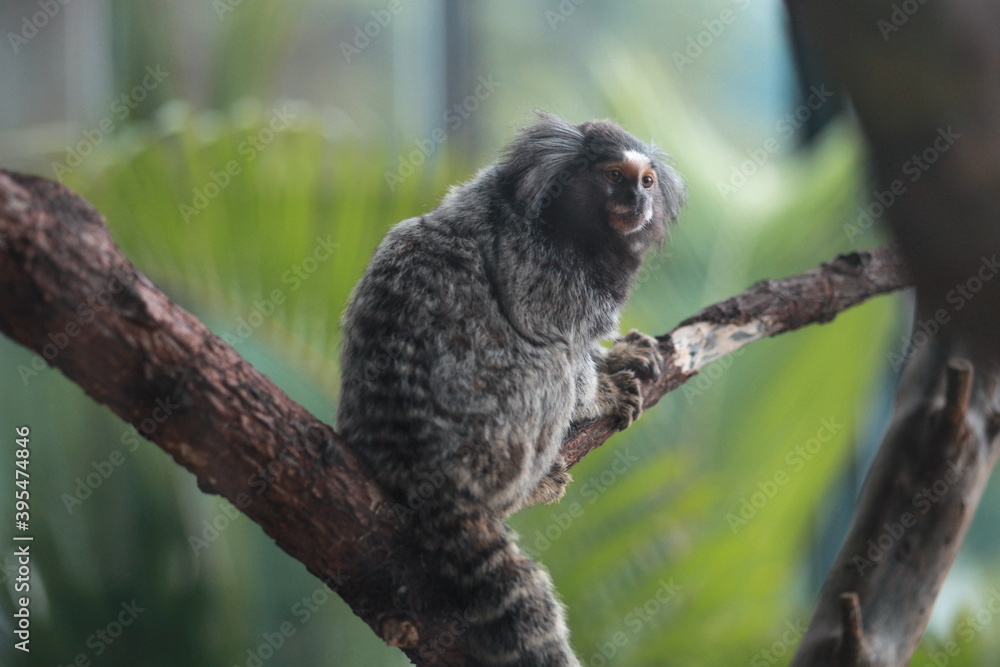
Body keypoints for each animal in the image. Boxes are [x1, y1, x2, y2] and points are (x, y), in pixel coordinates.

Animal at [337, 112, 685, 666]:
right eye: (614, 176)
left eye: (648, 181)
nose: (637, 201)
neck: (563, 224)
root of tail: (421, 467)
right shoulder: (544, 274)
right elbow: (556, 342)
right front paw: (603, 392)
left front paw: (620, 356)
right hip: (494, 442)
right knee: (550, 367)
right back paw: (533, 485)